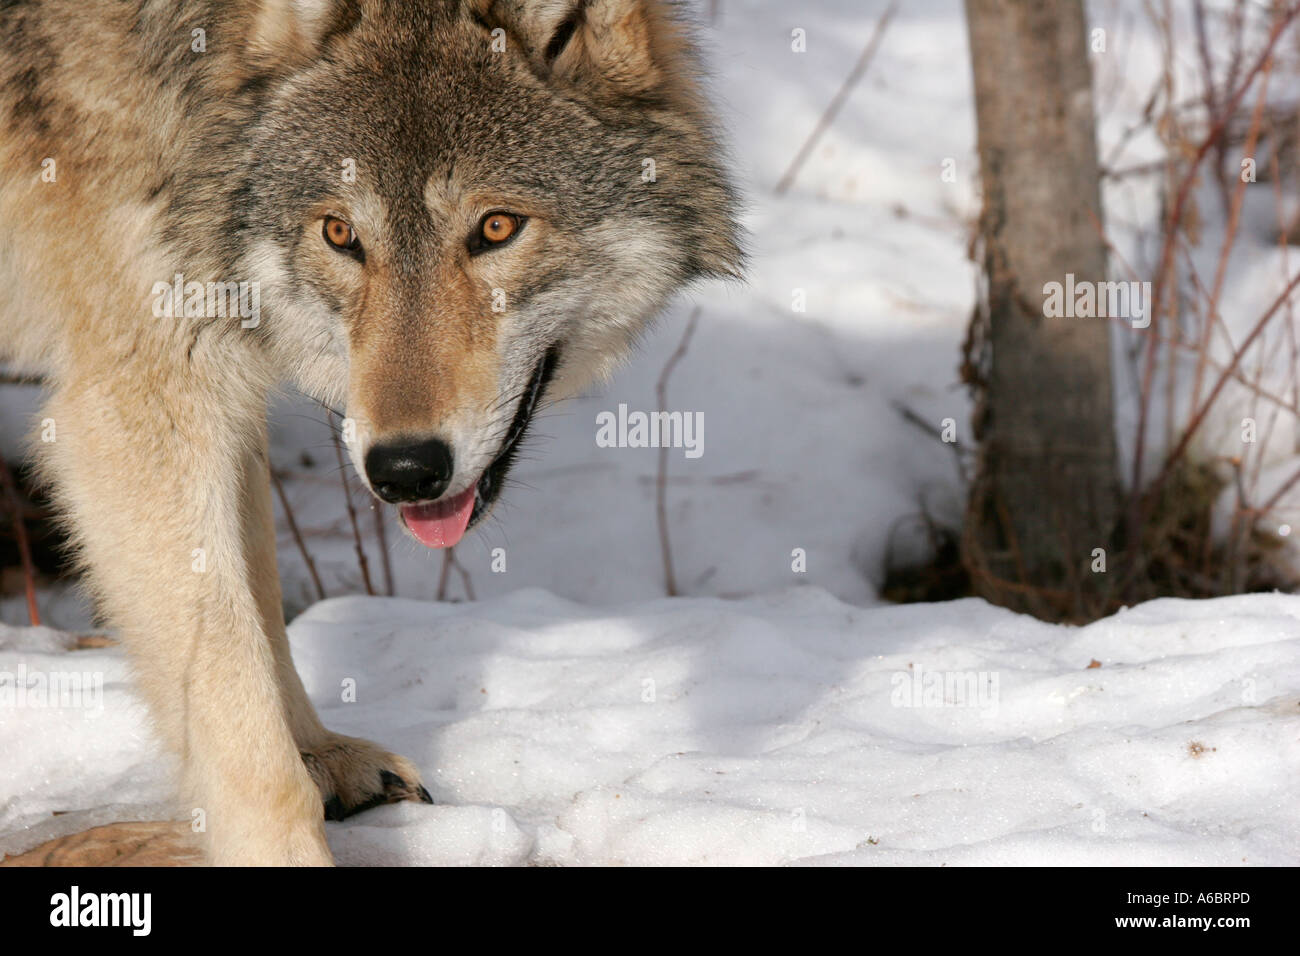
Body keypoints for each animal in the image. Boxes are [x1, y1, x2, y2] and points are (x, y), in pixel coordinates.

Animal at [0, 0, 741, 865]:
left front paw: (319, 755)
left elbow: (259, 605)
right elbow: (239, 719)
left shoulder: (219, 386)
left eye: (496, 228)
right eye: (339, 234)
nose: (405, 470)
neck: (197, 90)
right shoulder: (137, 402)